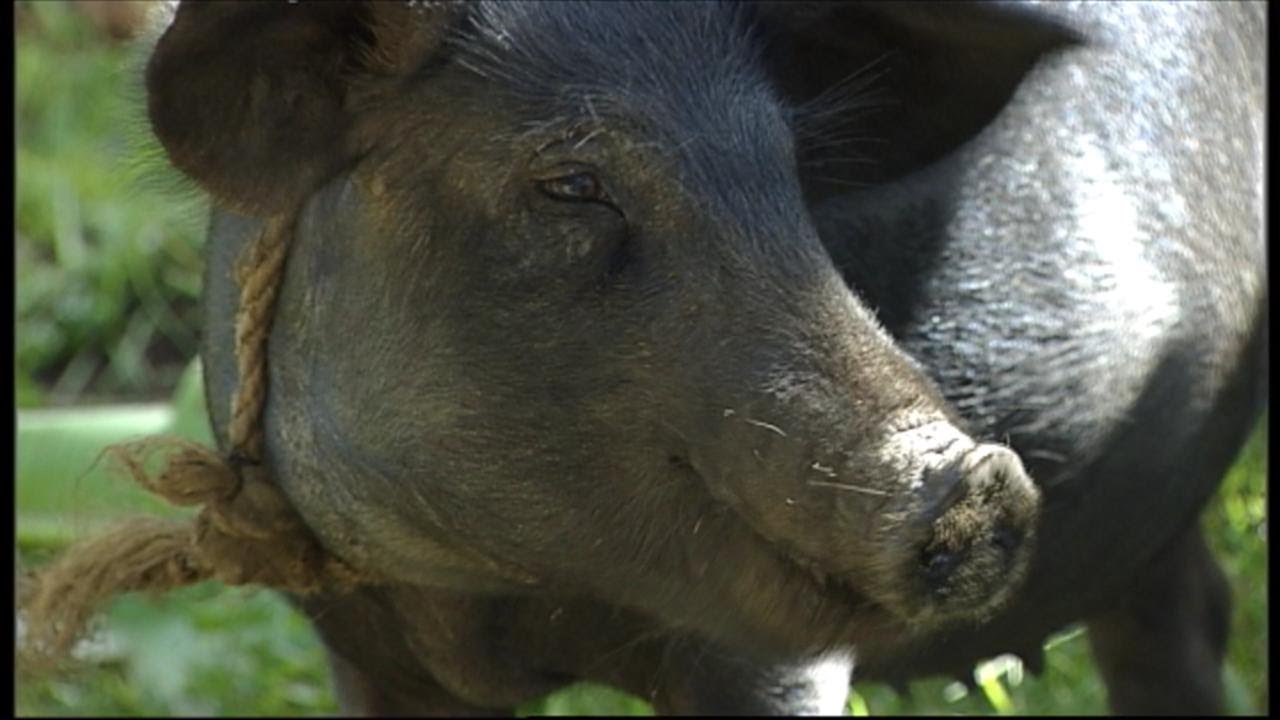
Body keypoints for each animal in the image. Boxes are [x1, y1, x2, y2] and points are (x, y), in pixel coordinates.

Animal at [143, 0, 1265, 715]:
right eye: (571, 185)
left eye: (790, 175)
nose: (977, 480)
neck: (498, 597)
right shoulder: (364, 644)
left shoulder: (771, 663)